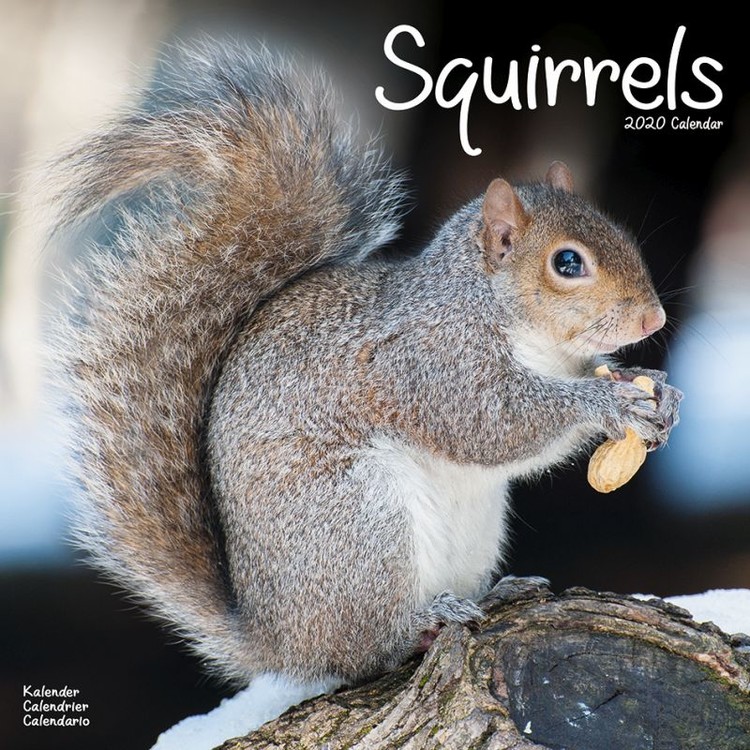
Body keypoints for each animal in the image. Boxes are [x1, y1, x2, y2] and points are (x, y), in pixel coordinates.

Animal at [54, 41, 681, 688]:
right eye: (567, 263)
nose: (652, 320)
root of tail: (278, 640)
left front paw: (658, 391)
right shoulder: (431, 361)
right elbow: (492, 423)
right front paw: (603, 403)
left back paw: (493, 594)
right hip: (357, 523)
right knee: (367, 648)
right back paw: (427, 620)